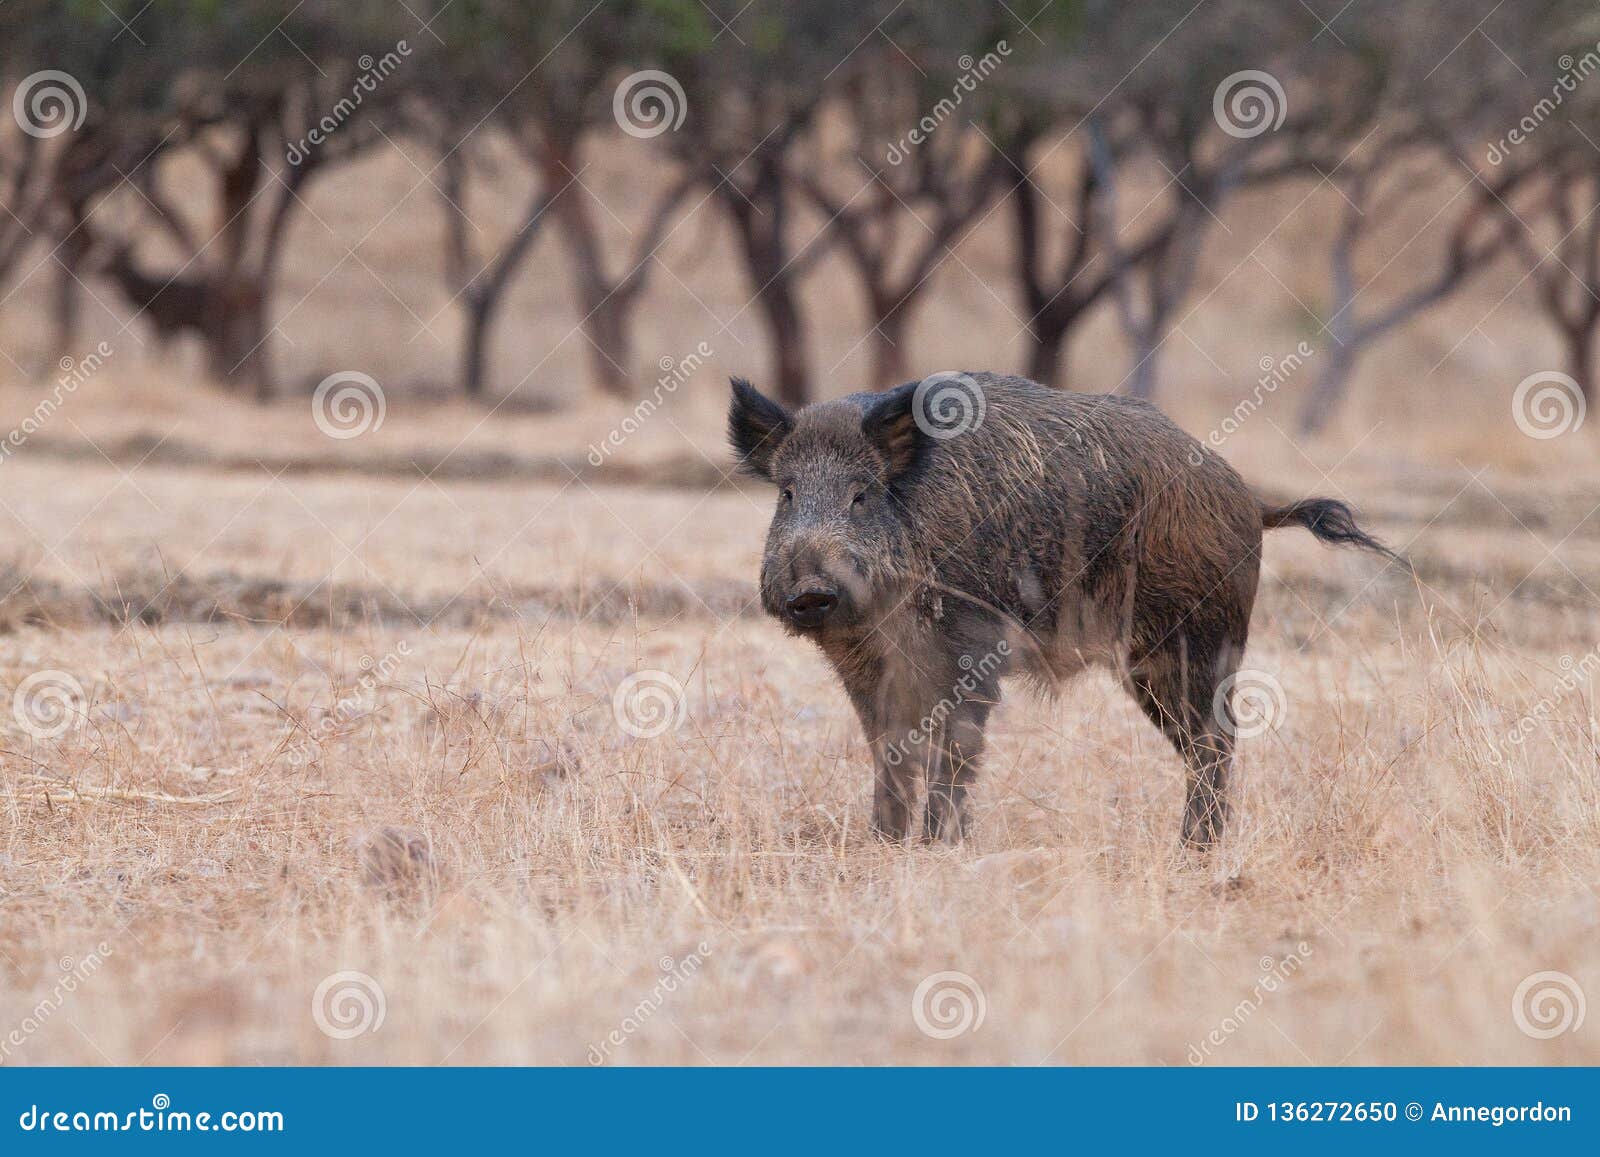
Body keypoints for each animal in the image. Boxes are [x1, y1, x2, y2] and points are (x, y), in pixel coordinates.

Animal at [728, 370, 1400, 848]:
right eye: (787, 493)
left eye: (861, 494)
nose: (809, 590)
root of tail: (1251, 499)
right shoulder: (865, 667)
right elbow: (889, 751)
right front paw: (883, 845)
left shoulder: (972, 651)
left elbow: (954, 750)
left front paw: (937, 847)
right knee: (1203, 745)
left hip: (1196, 639)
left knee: (1216, 742)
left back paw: (1193, 851)